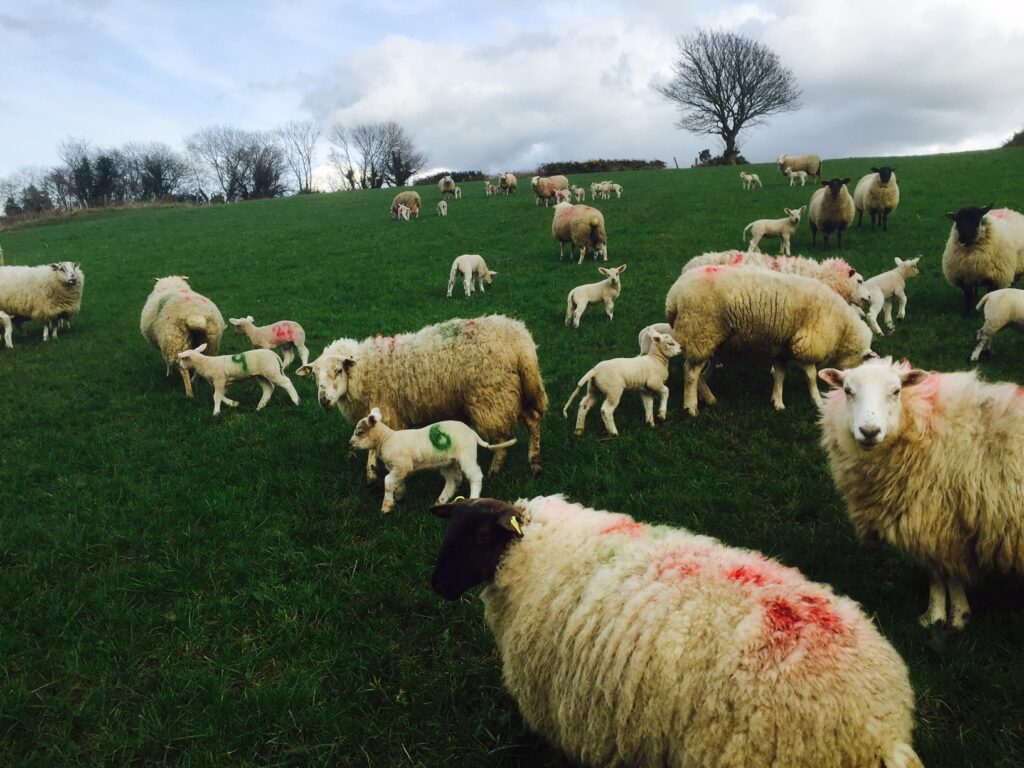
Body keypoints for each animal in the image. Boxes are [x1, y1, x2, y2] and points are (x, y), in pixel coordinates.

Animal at [296, 315, 548, 480]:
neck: (366, 369)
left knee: (503, 435)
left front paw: (372, 473)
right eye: (314, 375)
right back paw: (535, 462)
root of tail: (521, 339)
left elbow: (374, 445)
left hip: (492, 395)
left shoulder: (386, 410)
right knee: (533, 420)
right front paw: (371, 474)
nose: (324, 400)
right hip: (515, 391)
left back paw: (496, 469)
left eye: (339, 370)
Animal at [348, 408, 516, 513]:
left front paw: (386, 507)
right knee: (454, 480)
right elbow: (397, 482)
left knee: (475, 476)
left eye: (360, 432)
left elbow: (388, 482)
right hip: (448, 461)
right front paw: (400, 495)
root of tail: (472, 433)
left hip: (467, 455)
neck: (387, 439)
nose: (350, 444)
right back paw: (440, 502)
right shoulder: (399, 468)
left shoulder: (402, 465)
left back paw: (473, 498)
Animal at [666, 266, 874, 415]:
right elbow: (811, 377)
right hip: (700, 332)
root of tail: (673, 296)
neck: (841, 329)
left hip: (705, 339)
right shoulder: (807, 345)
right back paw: (691, 406)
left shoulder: (781, 349)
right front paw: (817, 401)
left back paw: (709, 398)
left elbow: (780, 376)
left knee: (695, 371)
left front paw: (778, 402)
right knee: (691, 373)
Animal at [819, 357, 1024, 629]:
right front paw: (946, 616)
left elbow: (942, 574)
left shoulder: (936, 520)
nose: (870, 431)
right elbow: (942, 573)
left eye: (896, 391)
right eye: (847, 391)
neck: (927, 428)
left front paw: (947, 616)